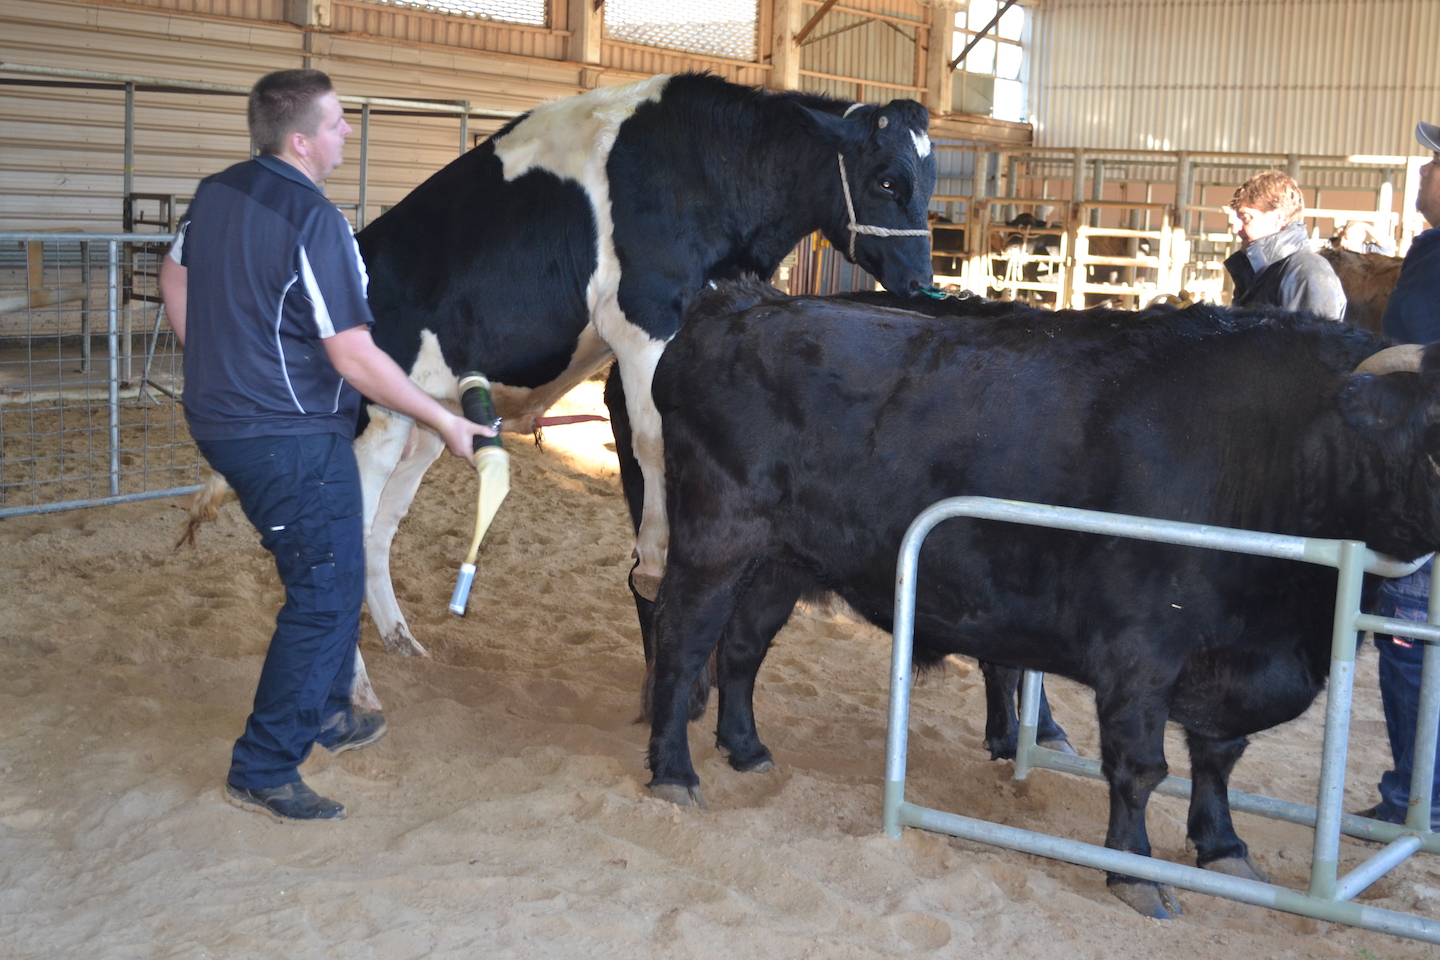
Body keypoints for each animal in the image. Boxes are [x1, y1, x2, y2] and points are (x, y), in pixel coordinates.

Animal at [184, 74, 938, 691]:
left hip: (423, 421)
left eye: (929, 183)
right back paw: (355, 685)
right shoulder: (641, 317)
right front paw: (655, 556)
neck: (710, 169)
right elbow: (653, 442)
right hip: (373, 423)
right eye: (886, 180)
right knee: (347, 535)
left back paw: (400, 640)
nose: (918, 281)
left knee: (380, 530)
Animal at [641, 277, 1440, 920]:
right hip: (716, 539)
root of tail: (739, 302)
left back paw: (747, 750)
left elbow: (1220, 758)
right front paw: (1134, 872)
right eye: (1433, 442)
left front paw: (1222, 846)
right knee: (681, 644)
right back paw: (674, 773)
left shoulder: (1232, 657)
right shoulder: (1140, 649)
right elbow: (1141, 768)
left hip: (780, 562)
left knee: (742, 650)